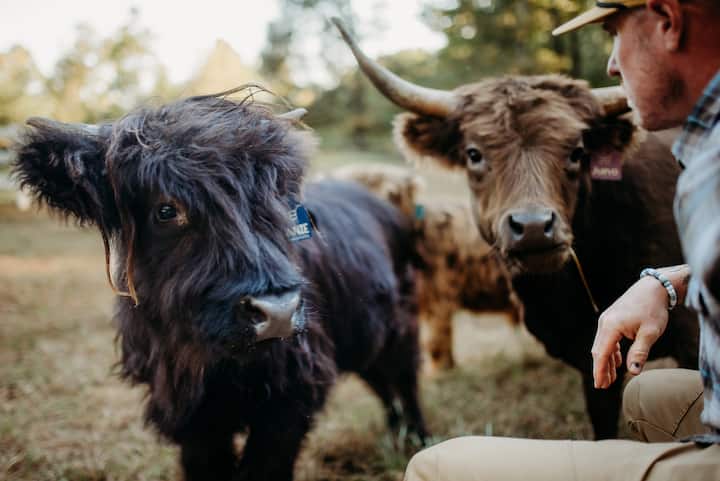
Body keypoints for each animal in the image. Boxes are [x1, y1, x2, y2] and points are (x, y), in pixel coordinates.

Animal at [12, 91, 428, 481]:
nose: (278, 312)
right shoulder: (189, 415)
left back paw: (417, 441)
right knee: (383, 384)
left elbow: (265, 467)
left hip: (402, 327)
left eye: (277, 199)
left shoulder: (290, 398)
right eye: (166, 210)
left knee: (405, 381)